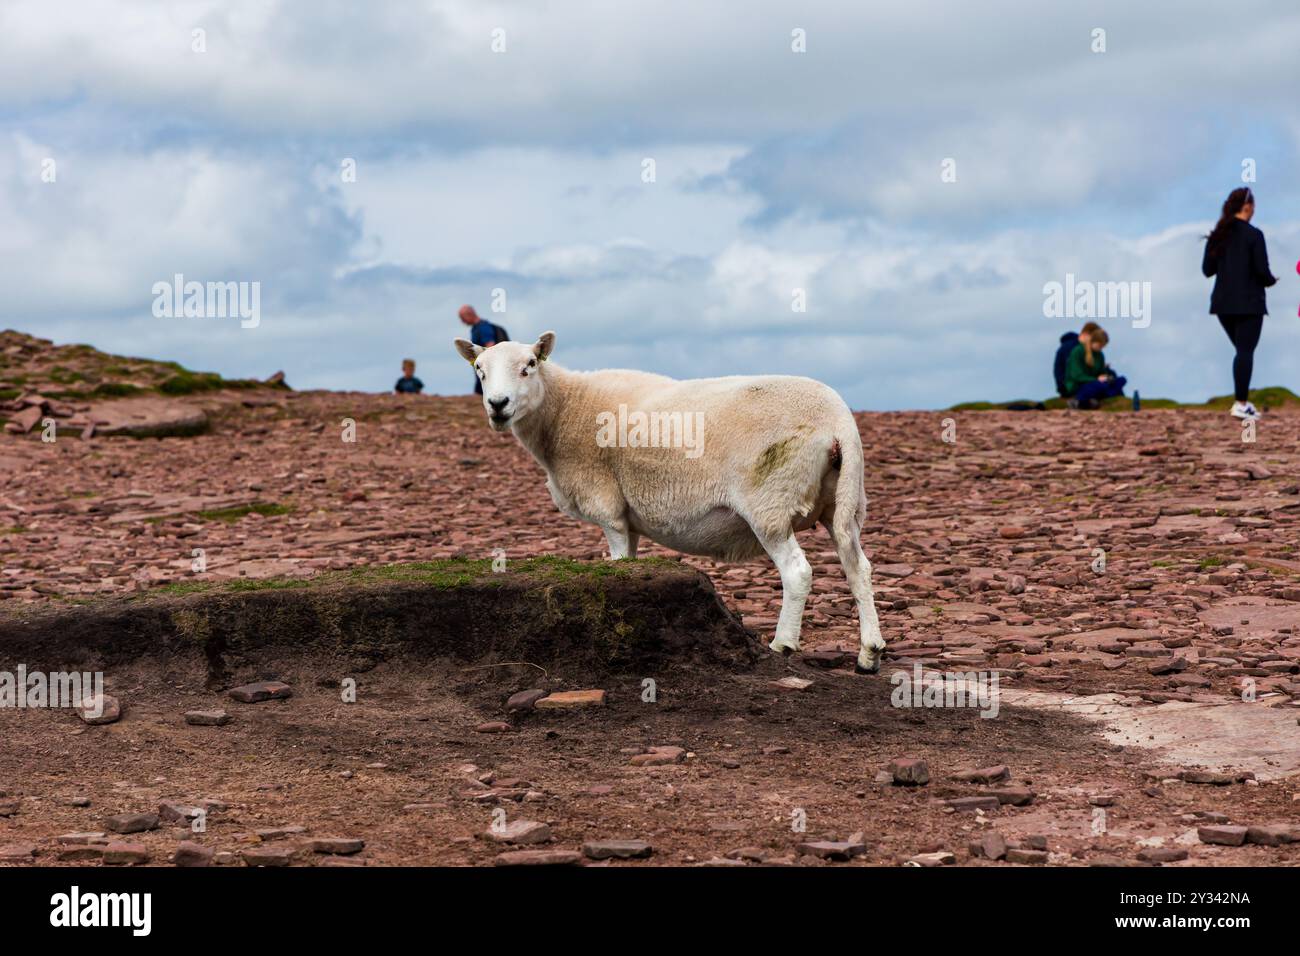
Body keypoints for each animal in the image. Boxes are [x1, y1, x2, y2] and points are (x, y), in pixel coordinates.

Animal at [453, 331, 887, 673]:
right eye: (479, 370)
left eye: (529, 365)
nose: (497, 404)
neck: (564, 411)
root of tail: (837, 421)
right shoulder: (626, 516)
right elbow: (626, 565)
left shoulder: (607, 506)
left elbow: (616, 560)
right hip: (844, 501)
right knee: (858, 567)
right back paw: (869, 654)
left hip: (771, 500)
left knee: (797, 572)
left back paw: (783, 643)